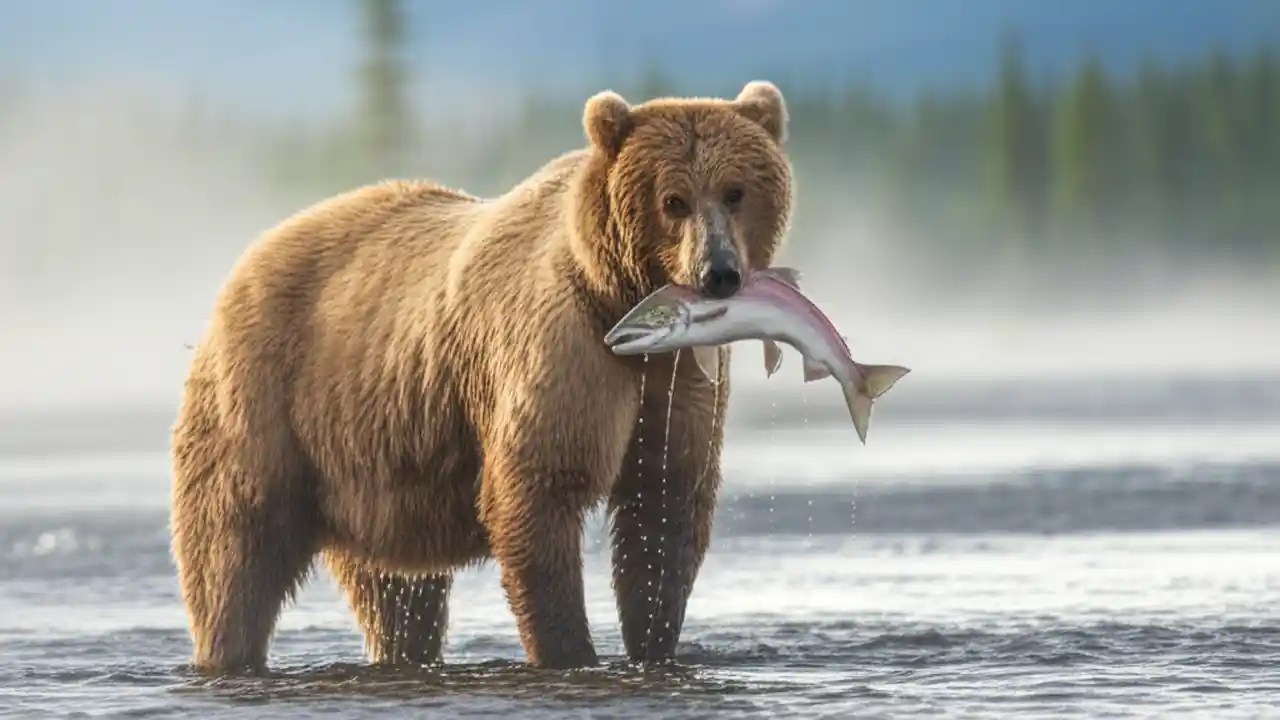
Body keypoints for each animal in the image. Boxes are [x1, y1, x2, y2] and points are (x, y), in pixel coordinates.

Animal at [169, 80, 794, 673]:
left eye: (736, 191)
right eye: (673, 200)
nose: (719, 272)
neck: (615, 300)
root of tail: (248, 259)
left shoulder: (676, 380)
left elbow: (663, 507)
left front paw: (655, 645)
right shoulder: (560, 353)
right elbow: (540, 491)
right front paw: (570, 650)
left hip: (374, 466)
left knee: (395, 592)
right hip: (265, 399)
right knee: (233, 552)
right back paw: (227, 649)